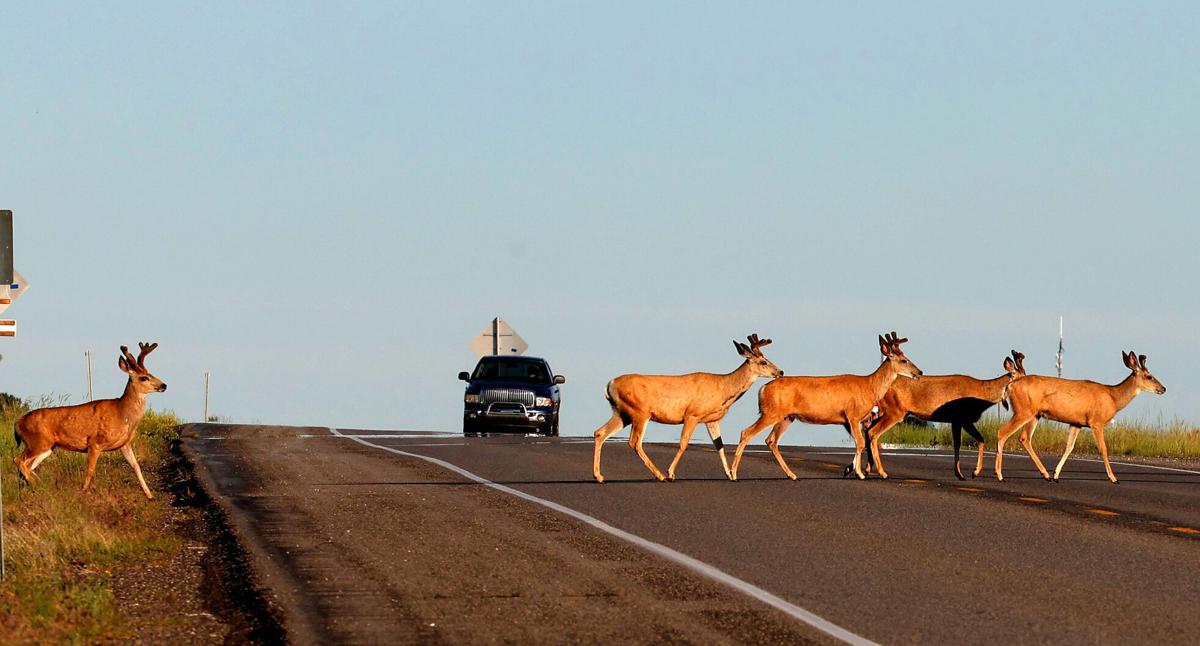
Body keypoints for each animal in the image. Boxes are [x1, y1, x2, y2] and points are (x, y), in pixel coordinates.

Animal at [13, 342, 168, 499]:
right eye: (144, 377)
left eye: (151, 373)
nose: (164, 385)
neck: (122, 414)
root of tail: (18, 423)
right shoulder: (94, 443)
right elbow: (90, 470)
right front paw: (84, 491)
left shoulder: (125, 444)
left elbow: (136, 466)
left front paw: (149, 495)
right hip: (38, 442)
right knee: (18, 460)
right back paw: (37, 485)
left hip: (46, 447)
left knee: (27, 466)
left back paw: (32, 488)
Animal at [592, 334, 783, 484]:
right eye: (763, 362)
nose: (780, 372)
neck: (723, 389)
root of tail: (610, 384)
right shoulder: (692, 414)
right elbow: (683, 443)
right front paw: (671, 473)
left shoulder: (712, 419)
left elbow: (719, 445)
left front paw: (730, 474)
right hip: (640, 412)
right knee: (634, 442)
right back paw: (660, 475)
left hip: (622, 413)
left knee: (600, 432)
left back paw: (599, 476)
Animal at [729, 331, 922, 481]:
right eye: (904, 360)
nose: (919, 372)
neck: (870, 386)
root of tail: (762, 388)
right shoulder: (853, 415)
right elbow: (860, 442)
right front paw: (859, 473)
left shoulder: (851, 420)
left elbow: (859, 443)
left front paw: (853, 470)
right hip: (771, 412)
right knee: (746, 432)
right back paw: (733, 474)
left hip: (786, 417)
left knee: (771, 441)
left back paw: (792, 475)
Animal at [850, 350, 1027, 480]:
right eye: (1023, 376)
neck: (981, 395)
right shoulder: (963, 418)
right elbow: (979, 440)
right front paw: (973, 472)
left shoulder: (956, 420)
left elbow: (958, 444)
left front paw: (960, 473)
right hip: (895, 411)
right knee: (873, 432)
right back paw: (880, 472)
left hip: (887, 412)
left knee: (868, 430)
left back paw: (865, 469)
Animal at [994, 350, 1165, 484]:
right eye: (1149, 376)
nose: (1163, 388)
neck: (1114, 398)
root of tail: (1010, 385)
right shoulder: (1096, 422)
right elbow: (1103, 449)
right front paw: (1113, 478)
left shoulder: (1077, 423)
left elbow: (1069, 447)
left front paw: (1056, 475)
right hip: (1023, 411)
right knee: (1002, 432)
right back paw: (1000, 475)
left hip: (1035, 414)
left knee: (1024, 438)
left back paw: (1046, 475)